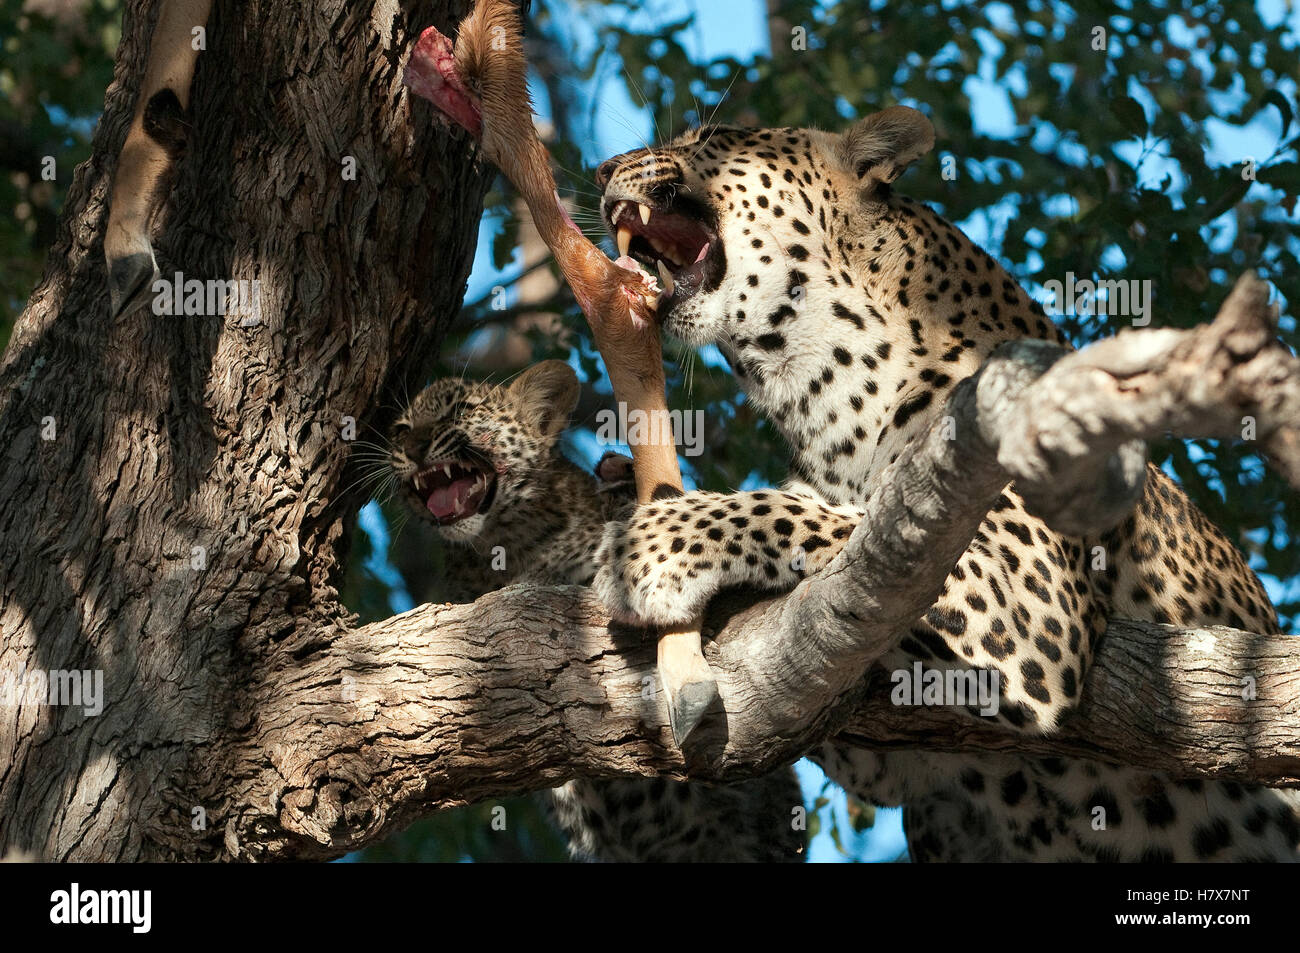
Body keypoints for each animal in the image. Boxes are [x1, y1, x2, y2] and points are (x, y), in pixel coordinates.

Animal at [589, 105, 1300, 861]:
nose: (602, 172)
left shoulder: (1032, 590)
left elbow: (823, 518)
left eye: (709, 138)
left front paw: (651, 544)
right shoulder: (901, 763)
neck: (817, 394)